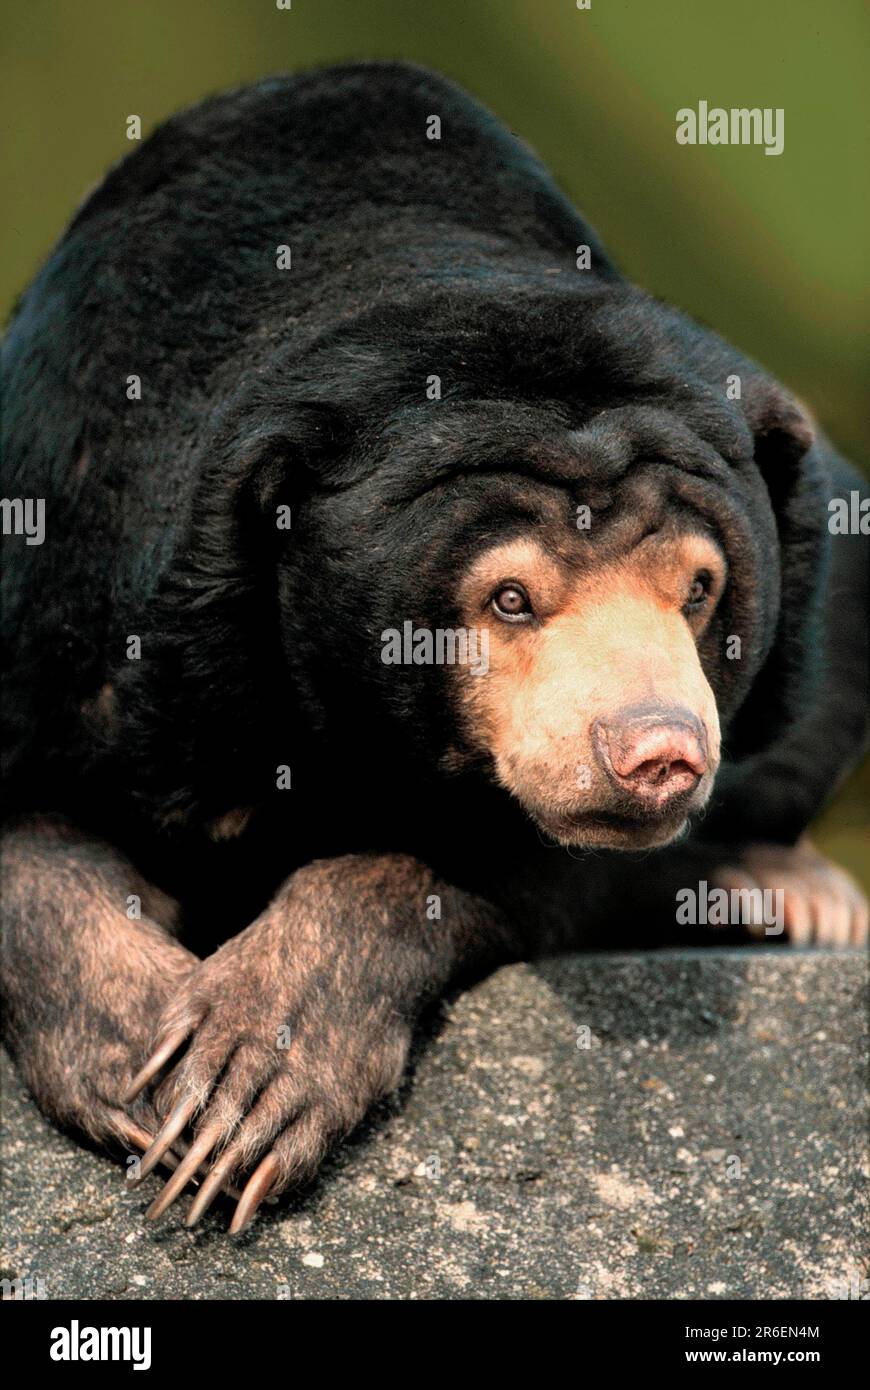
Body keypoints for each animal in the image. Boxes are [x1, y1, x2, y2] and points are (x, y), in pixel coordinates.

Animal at [1, 61, 867, 1234]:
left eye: (700, 587)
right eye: (507, 598)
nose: (661, 755)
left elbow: (461, 862)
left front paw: (237, 1085)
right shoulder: (67, 570)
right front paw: (141, 1059)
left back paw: (792, 893)